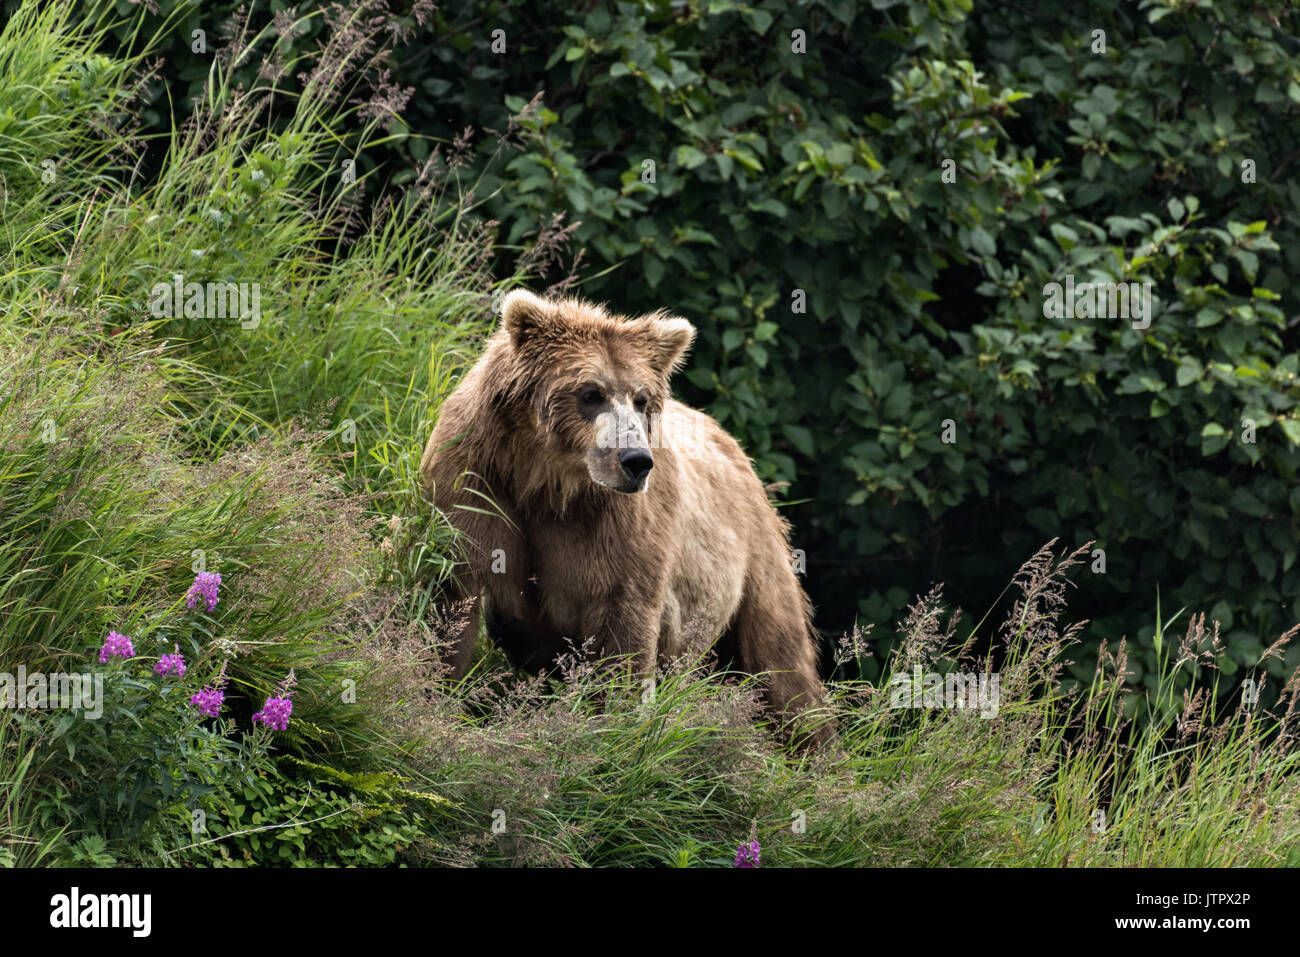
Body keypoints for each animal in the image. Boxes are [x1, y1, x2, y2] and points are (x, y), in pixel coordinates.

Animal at [419, 289, 829, 745]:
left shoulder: (618, 525)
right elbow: (453, 598)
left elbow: (624, 624)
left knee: (781, 658)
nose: (635, 460)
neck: (545, 481)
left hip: (754, 555)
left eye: (641, 398)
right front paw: (435, 698)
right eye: (590, 392)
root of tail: (733, 444)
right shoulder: (474, 483)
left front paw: (614, 726)